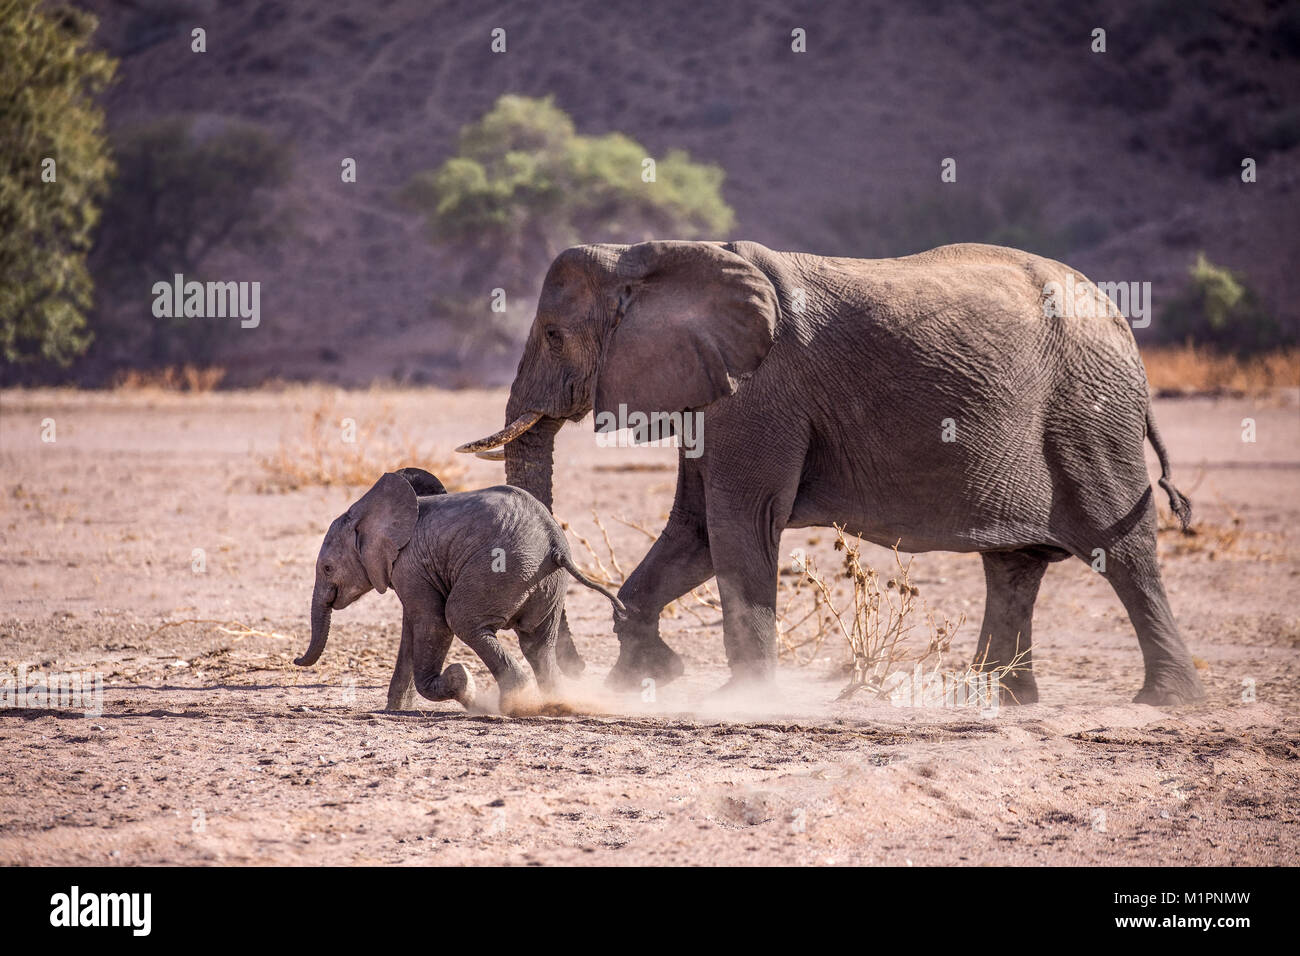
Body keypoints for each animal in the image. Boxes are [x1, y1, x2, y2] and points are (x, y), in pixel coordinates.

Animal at [292, 467, 624, 711]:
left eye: (327, 568)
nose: (296, 660)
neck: (368, 510)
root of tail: (556, 545)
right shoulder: (412, 571)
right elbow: (412, 628)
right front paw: (395, 710)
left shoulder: (411, 564)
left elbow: (433, 622)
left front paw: (461, 682)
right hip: (548, 584)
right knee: (538, 642)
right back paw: (557, 703)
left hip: (502, 569)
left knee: (461, 619)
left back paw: (514, 705)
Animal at [457, 239, 1206, 706]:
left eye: (554, 335)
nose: (572, 672)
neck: (651, 256)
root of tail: (1118, 316)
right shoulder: (718, 387)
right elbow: (697, 530)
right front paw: (649, 681)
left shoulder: (759, 393)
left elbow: (738, 523)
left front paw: (741, 699)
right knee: (1015, 566)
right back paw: (999, 701)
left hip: (1088, 415)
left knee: (1122, 552)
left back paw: (1166, 701)